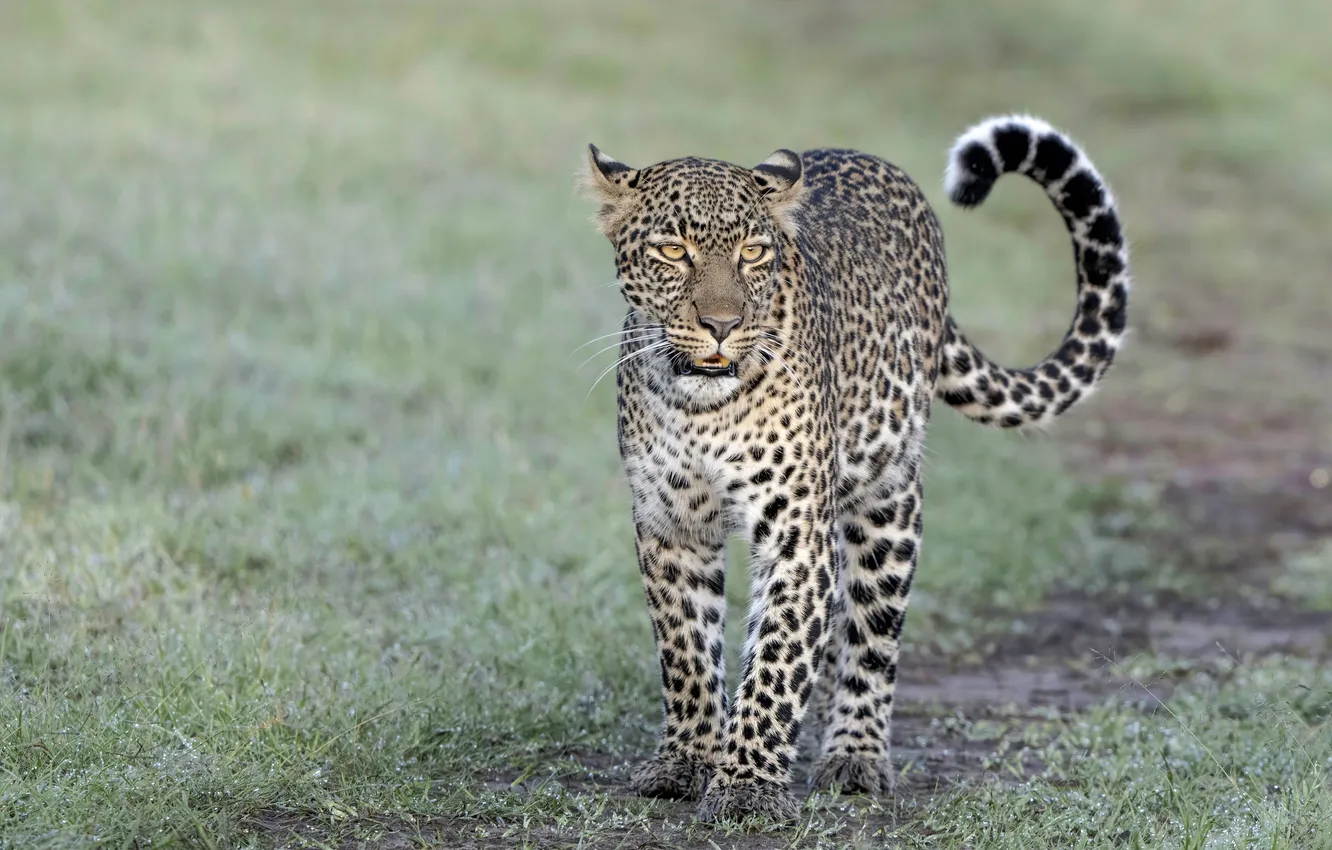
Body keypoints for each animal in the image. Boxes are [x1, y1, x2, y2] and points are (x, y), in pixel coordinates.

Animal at [579, 115, 1130, 823]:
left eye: (754, 253)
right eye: (673, 251)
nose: (722, 325)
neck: (703, 406)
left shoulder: (794, 534)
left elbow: (778, 658)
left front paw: (747, 785)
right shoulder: (670, 526)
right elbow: (687, 652)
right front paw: (687, 763)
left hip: (887, 501)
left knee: (872, 633)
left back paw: (853, 756)